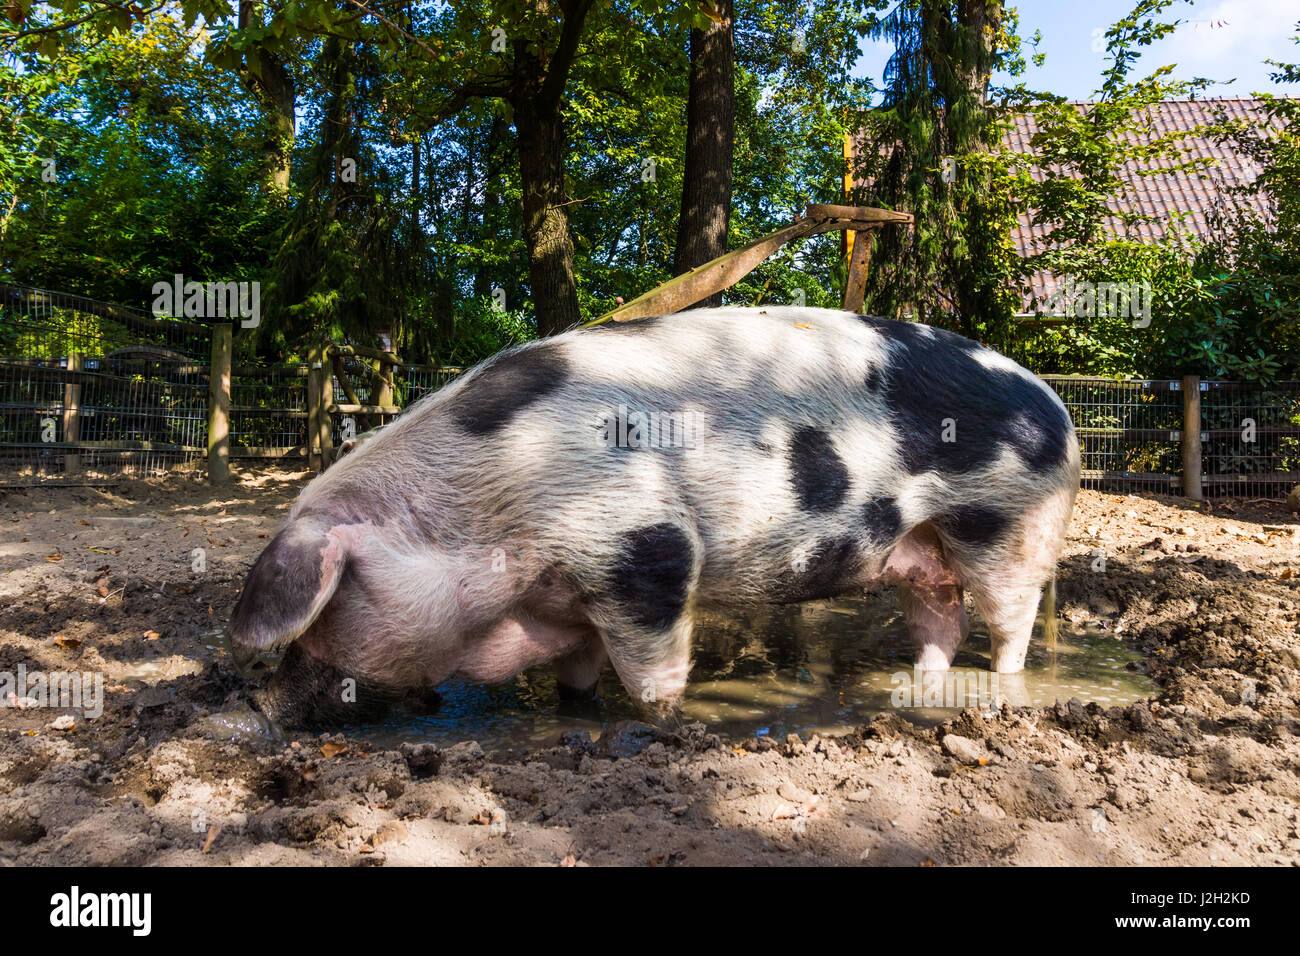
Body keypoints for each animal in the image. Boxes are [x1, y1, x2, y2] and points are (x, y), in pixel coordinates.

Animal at [227, 306, 1080, 726]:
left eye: (327, 606)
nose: (250, 708)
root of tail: (1059, 406)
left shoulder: (643, 549)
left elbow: (653, 671)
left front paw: (664, 725)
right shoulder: (567, 601)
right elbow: (577, 675)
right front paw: (576, 715)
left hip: (1008, 523)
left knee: (1007, 622)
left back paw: (1000, 691)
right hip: (923, 546)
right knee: (940, 616)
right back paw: (921, 683)